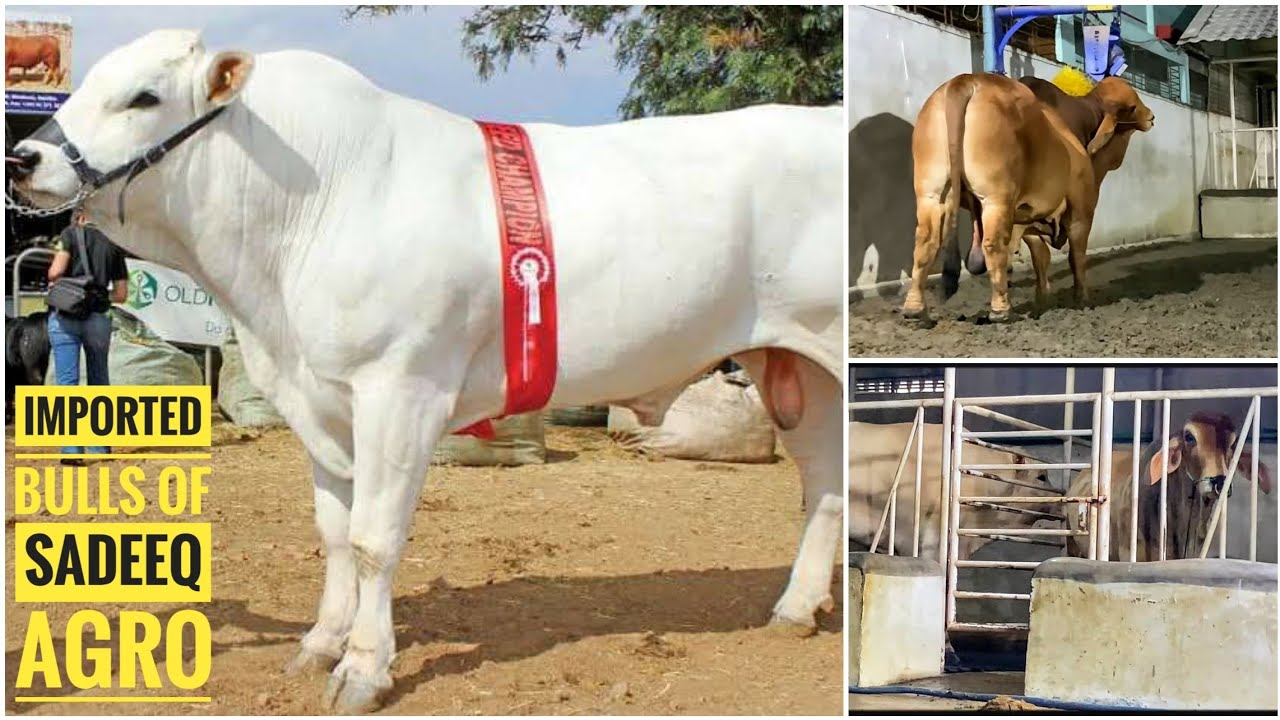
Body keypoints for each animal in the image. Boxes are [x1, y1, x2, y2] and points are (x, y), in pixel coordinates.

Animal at [8, 30, 843, 712]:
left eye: (143, 97)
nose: (24, 157)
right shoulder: (317, 398)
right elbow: (334, 533)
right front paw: (319, 644)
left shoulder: (399, 389)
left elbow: (375, 537)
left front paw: (364, 668)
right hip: (794, 369)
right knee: (825, 488)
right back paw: (796, 609)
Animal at [902, 73, 1154, 323]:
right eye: (1132, 106)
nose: (1151, 116)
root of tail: (964, 81)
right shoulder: (1081, 210)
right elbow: (1077, 256)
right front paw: (1082, 299)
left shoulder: (1027, 218)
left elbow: (1041, 257)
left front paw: (1042, 301)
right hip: (996, 199)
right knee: (993, 246)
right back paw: (1001, 310)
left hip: (931, 195)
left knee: (925, 243)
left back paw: (915, 310)